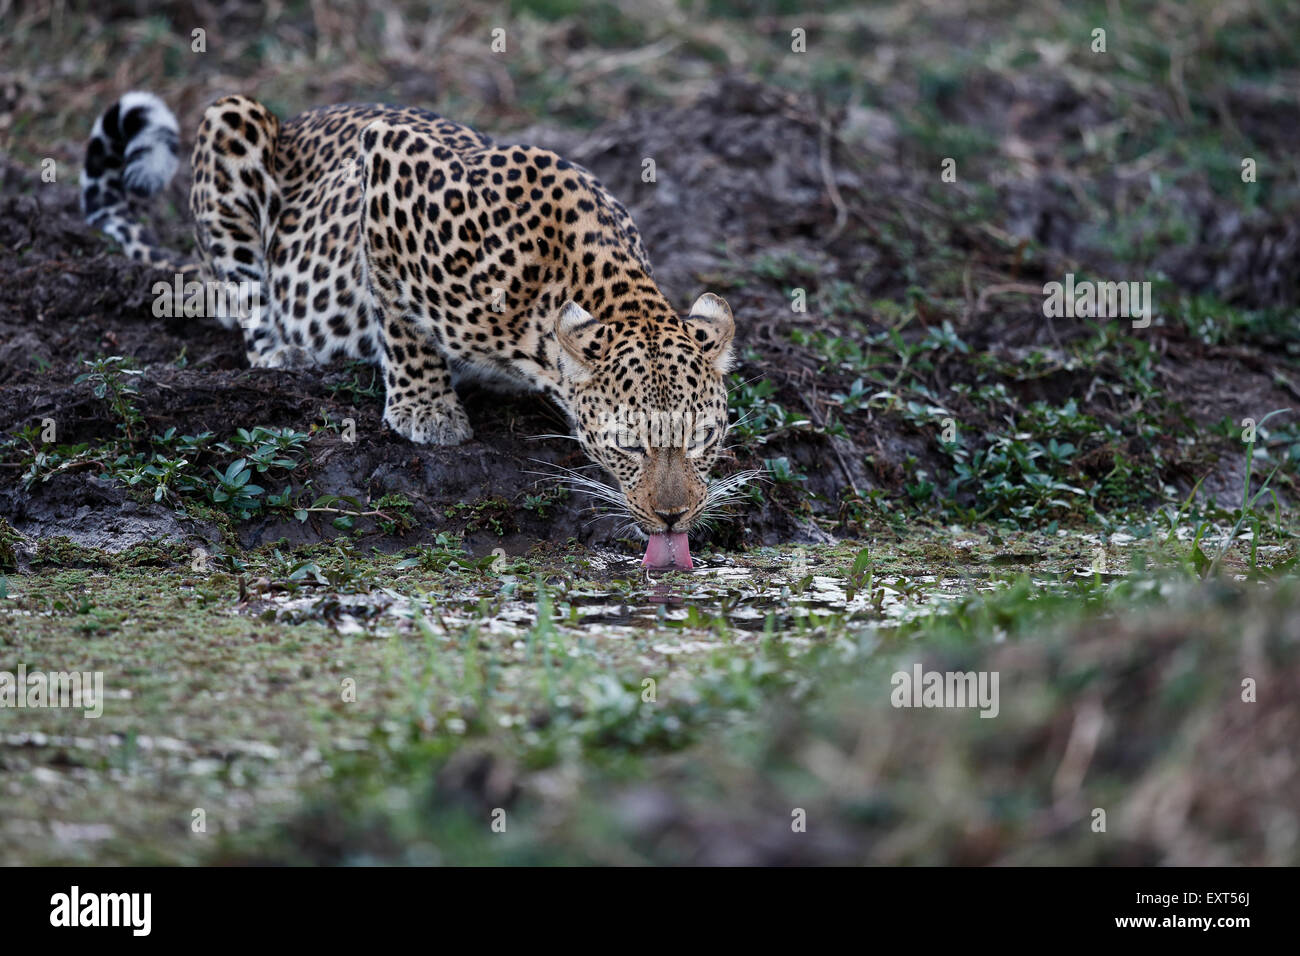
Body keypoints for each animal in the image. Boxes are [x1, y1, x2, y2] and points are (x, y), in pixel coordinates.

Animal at [80, 90, 754, 566]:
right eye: (629, 443)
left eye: (703, 438)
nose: (673, 518)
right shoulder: (386, 170)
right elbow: (401, 319)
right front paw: (426, 409)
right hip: (232, 121)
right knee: (247, 299)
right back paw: (284, 351)